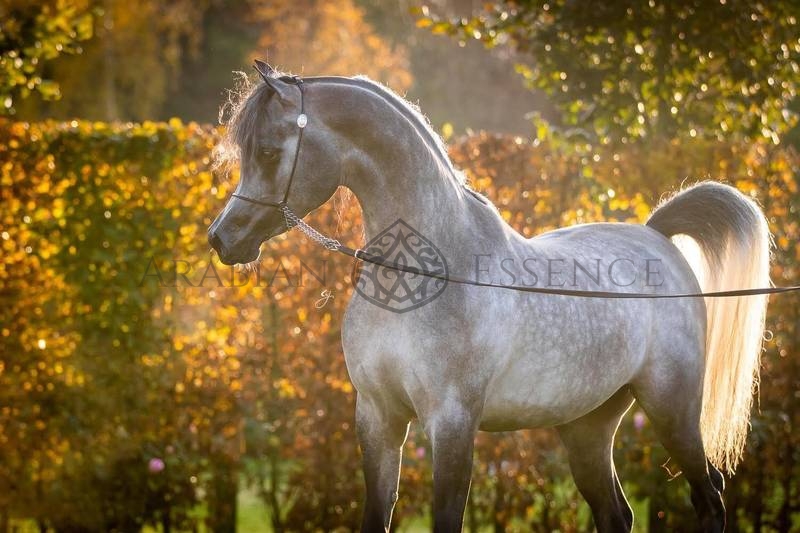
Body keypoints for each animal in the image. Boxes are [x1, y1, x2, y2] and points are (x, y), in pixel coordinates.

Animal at [207, 62, 771, 532]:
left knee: (709, 497)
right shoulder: (377, 417)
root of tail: (656, 237)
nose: (222, 239)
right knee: (617, 513)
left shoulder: (452, 423)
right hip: (587, 427)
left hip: (672, 406)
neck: (431, 272)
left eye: (268, 152)